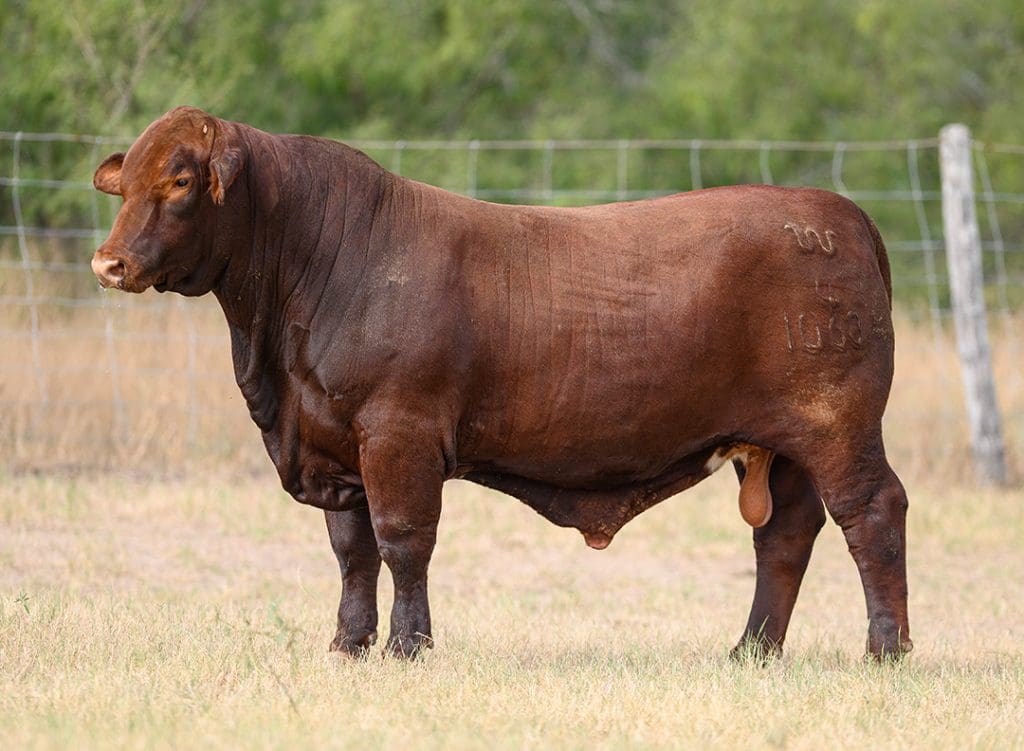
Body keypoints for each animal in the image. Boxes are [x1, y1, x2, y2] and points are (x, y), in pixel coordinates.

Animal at [91, 107, 912, 660]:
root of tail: (832, 210)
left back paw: (886, 649)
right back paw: (751, 651)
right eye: (123, 185)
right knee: (786, 534)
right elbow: (352, 551)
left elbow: (402, 541)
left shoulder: (399, 432)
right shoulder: (335, 446)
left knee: (872, 513)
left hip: (837, 422)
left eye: (180, 178)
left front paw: (408, 647)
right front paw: (348, 644)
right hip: (784, 441)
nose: (108, 262)